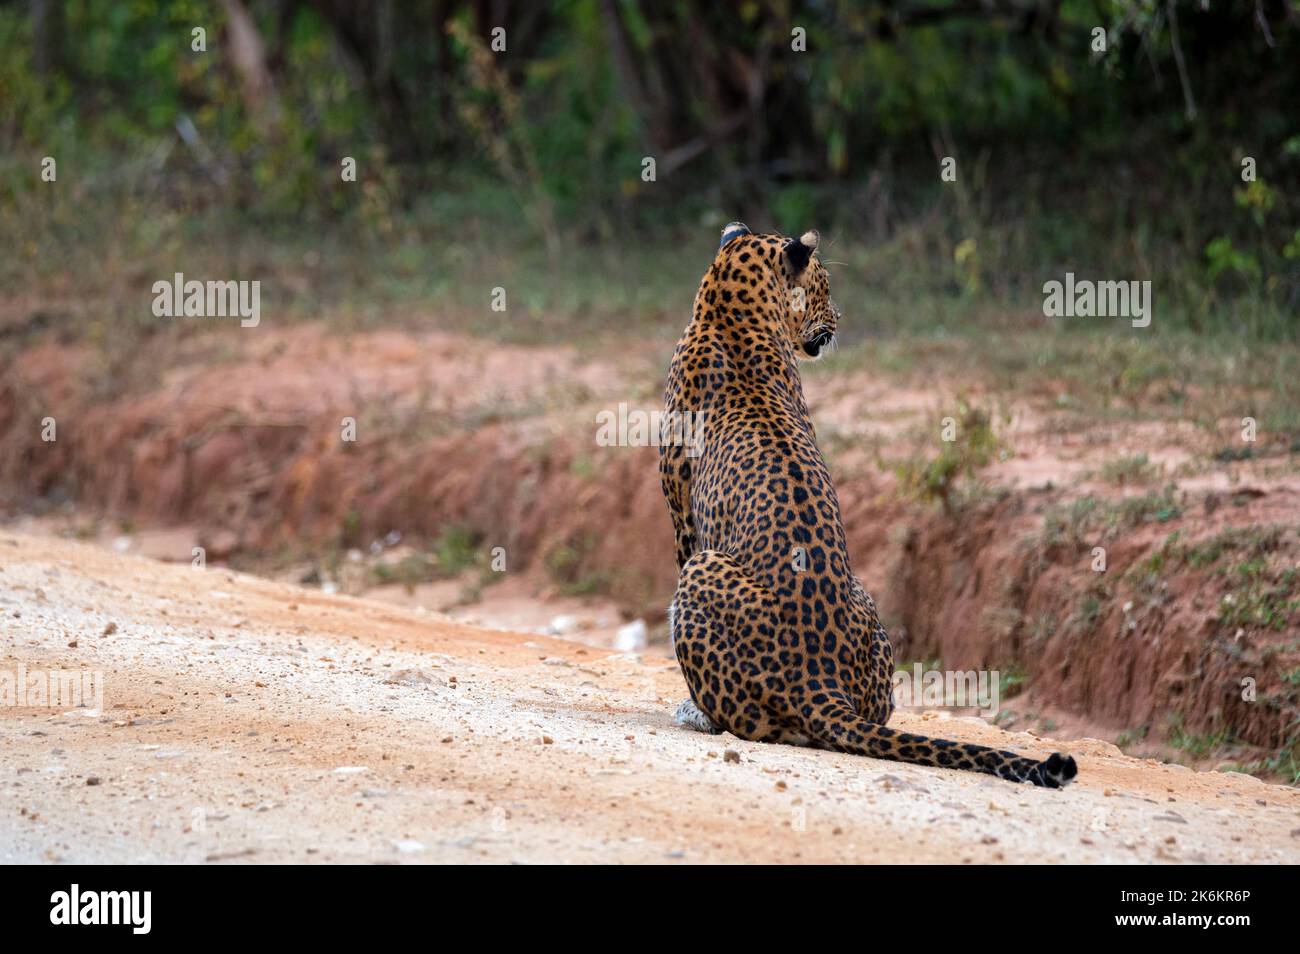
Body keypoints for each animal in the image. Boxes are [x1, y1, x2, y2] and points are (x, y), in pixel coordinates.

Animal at [658, 221, 1077, 788]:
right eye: (825, 286)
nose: (837, 320)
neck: (730, 309)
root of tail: (819, 682)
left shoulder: (681, 509)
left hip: (703, 567)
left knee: (748, 720)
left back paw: (695, 712)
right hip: (866, 603)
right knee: (875, 713)